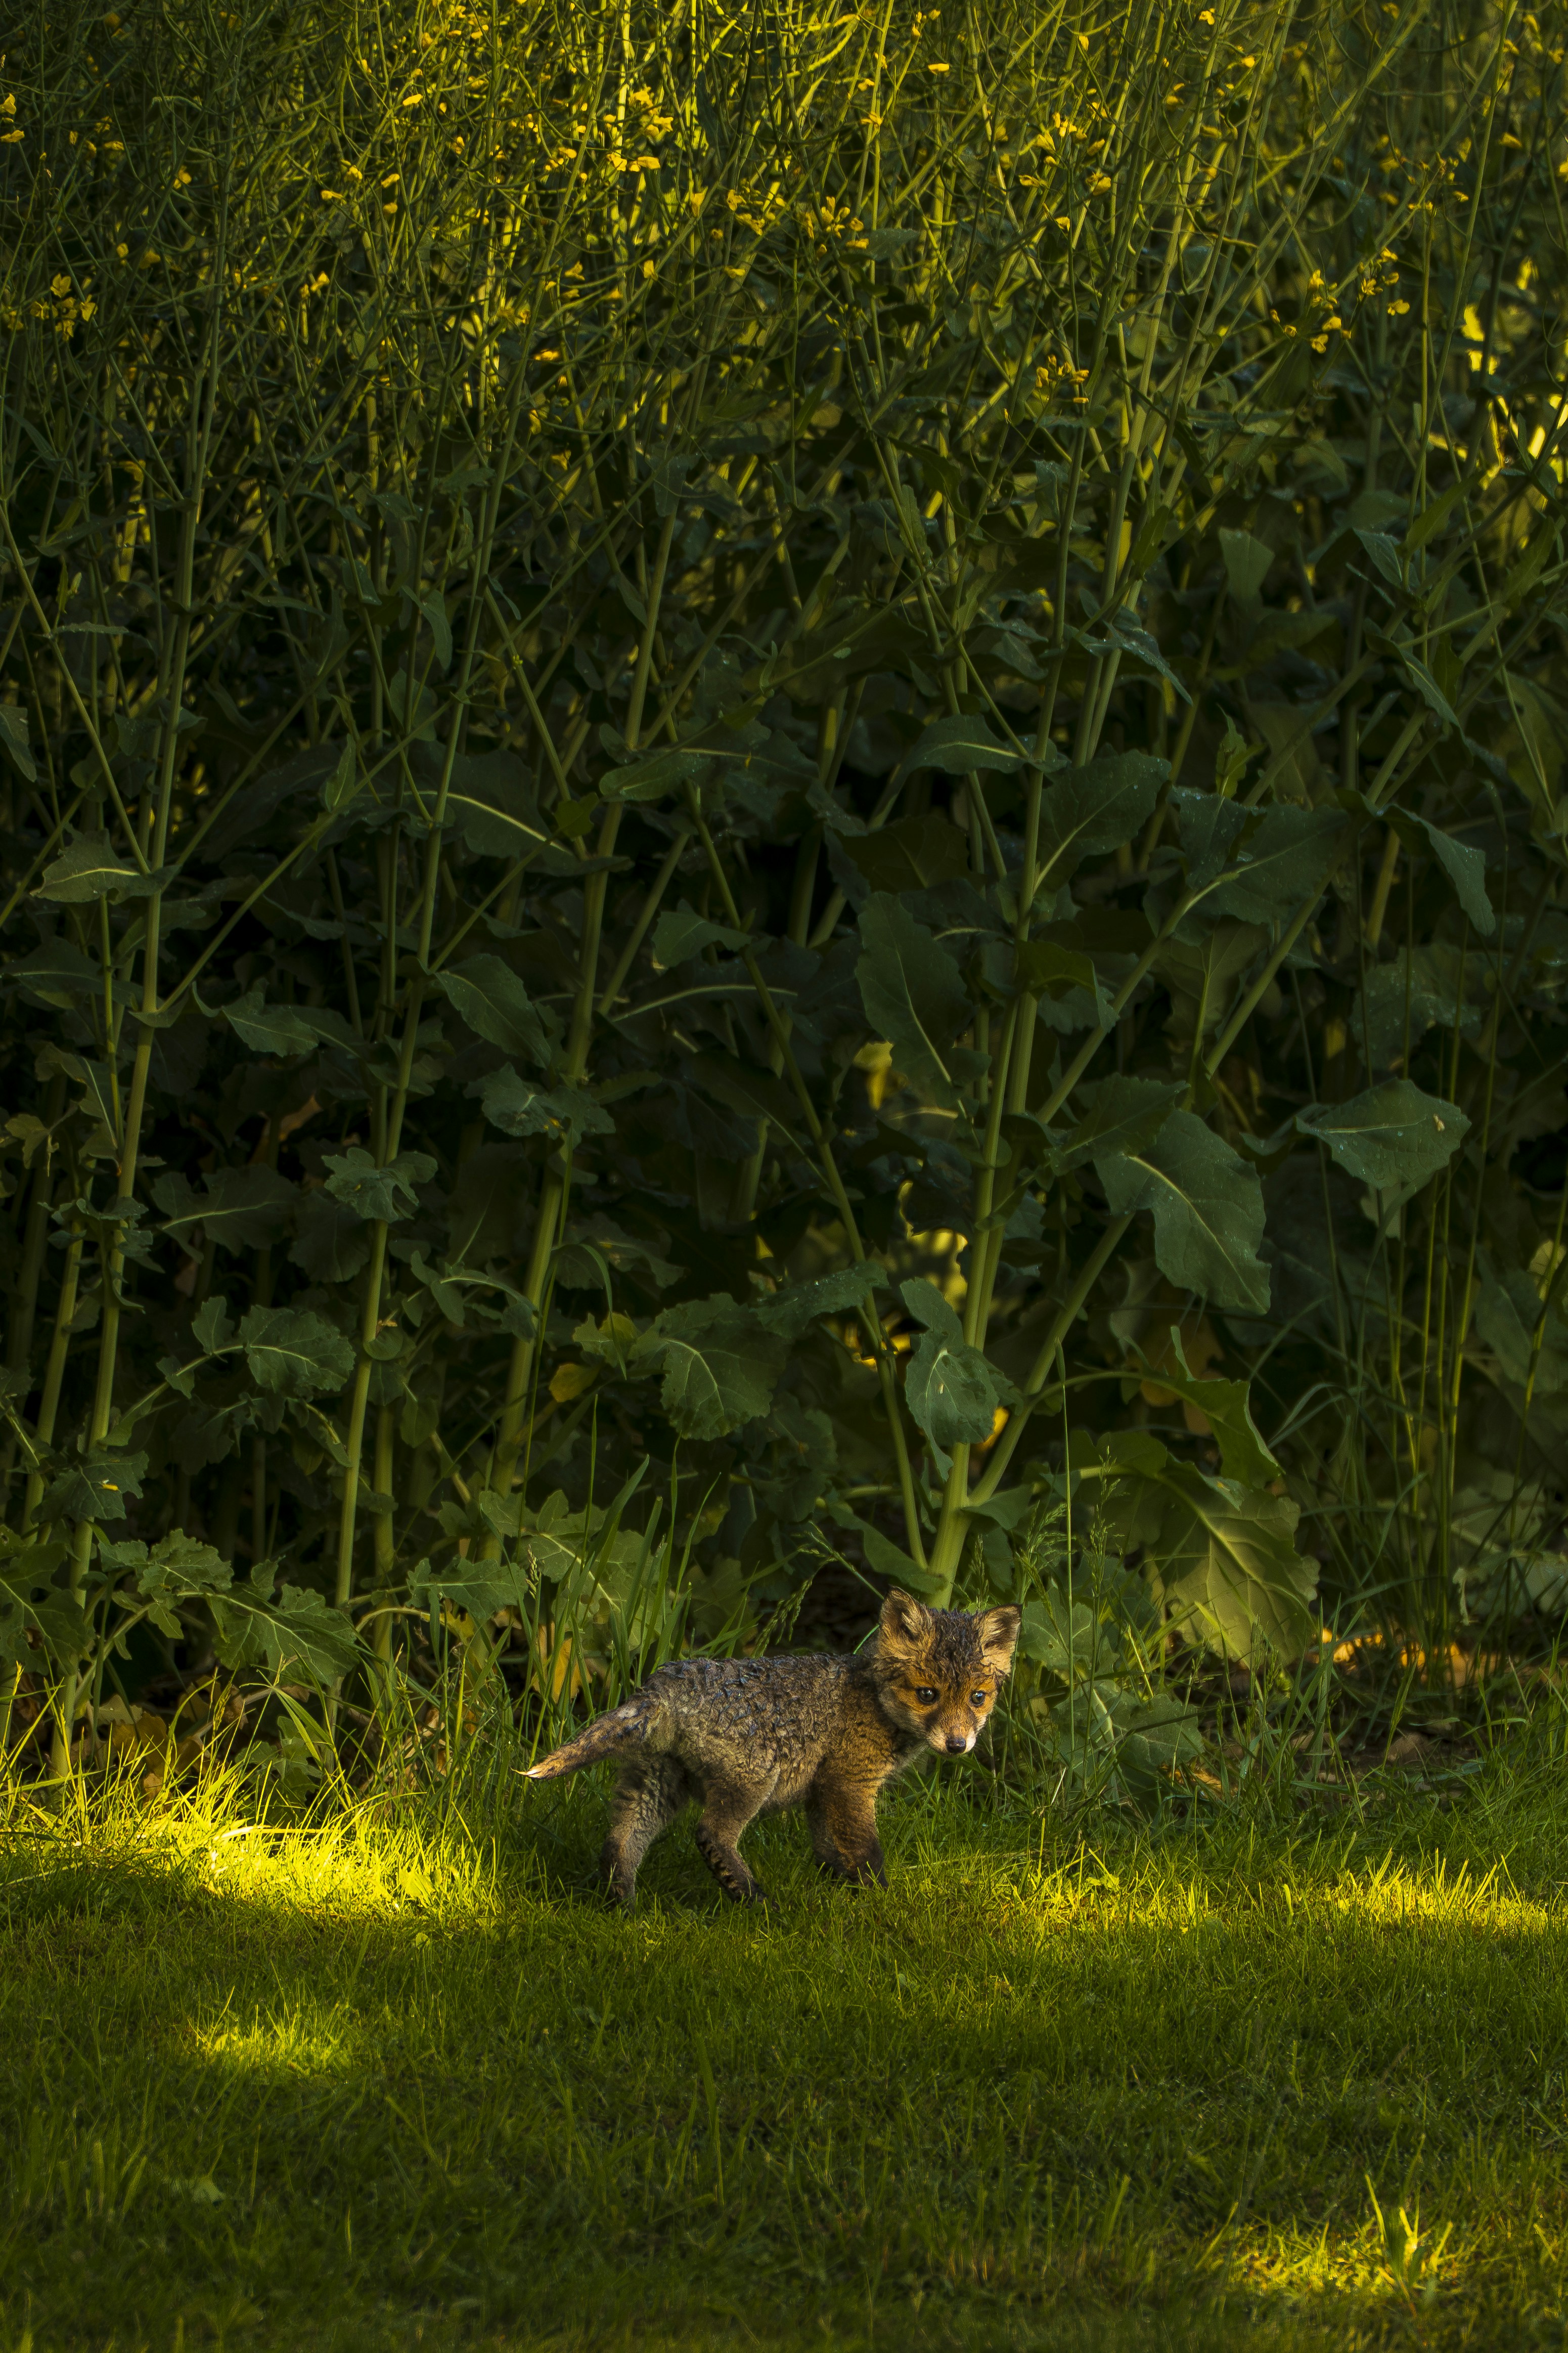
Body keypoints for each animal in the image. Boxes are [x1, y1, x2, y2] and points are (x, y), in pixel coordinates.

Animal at [523, 1588, 1021, 1907]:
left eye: (977, 1698)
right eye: (927, 1695)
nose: (957, 1745)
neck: (872, 1700)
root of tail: (668, 1681)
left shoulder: (823, 1792)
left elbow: (827, 1848)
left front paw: (837, 1886)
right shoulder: (849, 1782)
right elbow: (865, 1851)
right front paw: (880, 1900)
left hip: (657, 1785)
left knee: (620, 1841)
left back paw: (623, 1904)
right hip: (752, 1782)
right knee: (710, 1834)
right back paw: (751, 1898)